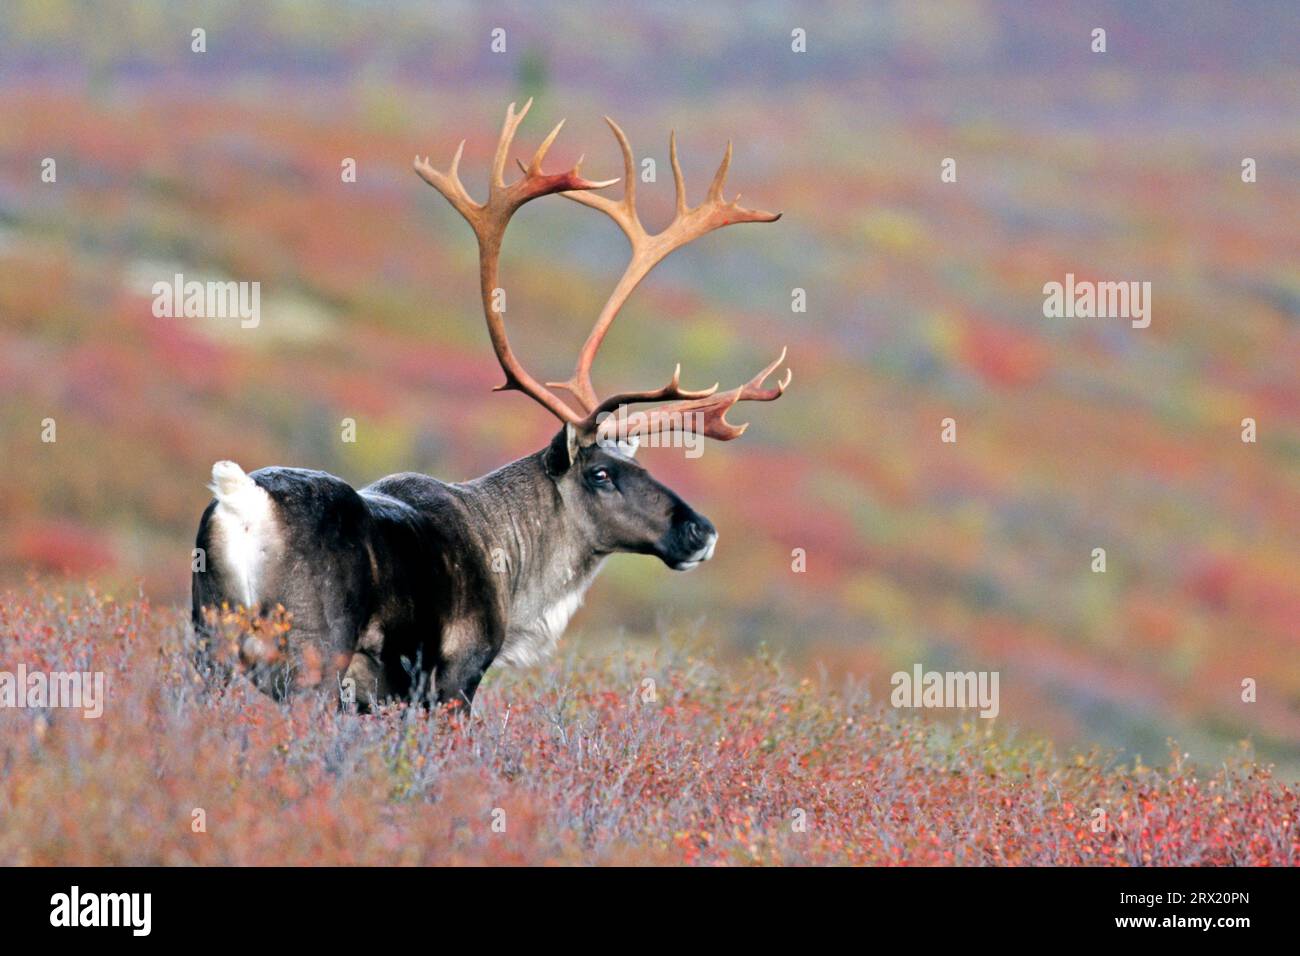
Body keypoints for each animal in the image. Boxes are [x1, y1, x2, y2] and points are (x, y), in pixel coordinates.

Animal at [190, 100, 790, 712]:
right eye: (600, 472)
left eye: (638, 462)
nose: (701, 531)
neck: (514, 566)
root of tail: (242, 500)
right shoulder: (454, 678)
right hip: (311, 655)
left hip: (210, 645)